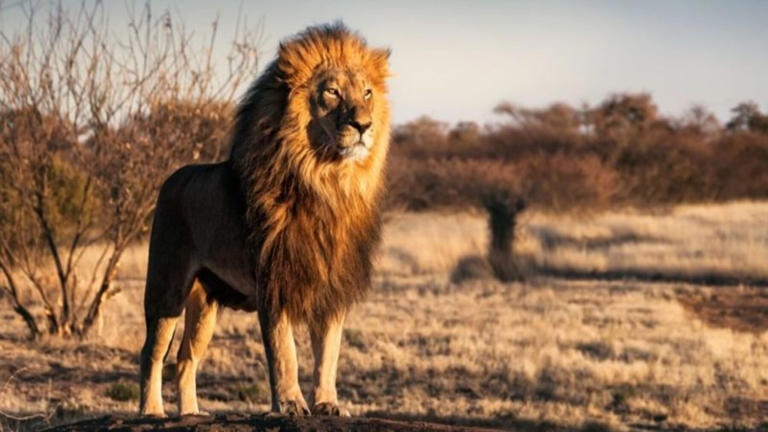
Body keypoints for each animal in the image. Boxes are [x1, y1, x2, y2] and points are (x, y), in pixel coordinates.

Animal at [138, 23, 391, 417]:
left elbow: (328, 353)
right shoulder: (273, 280)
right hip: (167, 286)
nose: (363, 124)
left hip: (205, 301)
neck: (327, 182)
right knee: (151, 353)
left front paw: (327, 404)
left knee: (185, 359)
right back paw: (151, 412)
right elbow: (285, 352)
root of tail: (171, 177)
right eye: (332, 92)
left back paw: (191, 413)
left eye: (367, 93)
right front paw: (289, 404)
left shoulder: (332, 285)